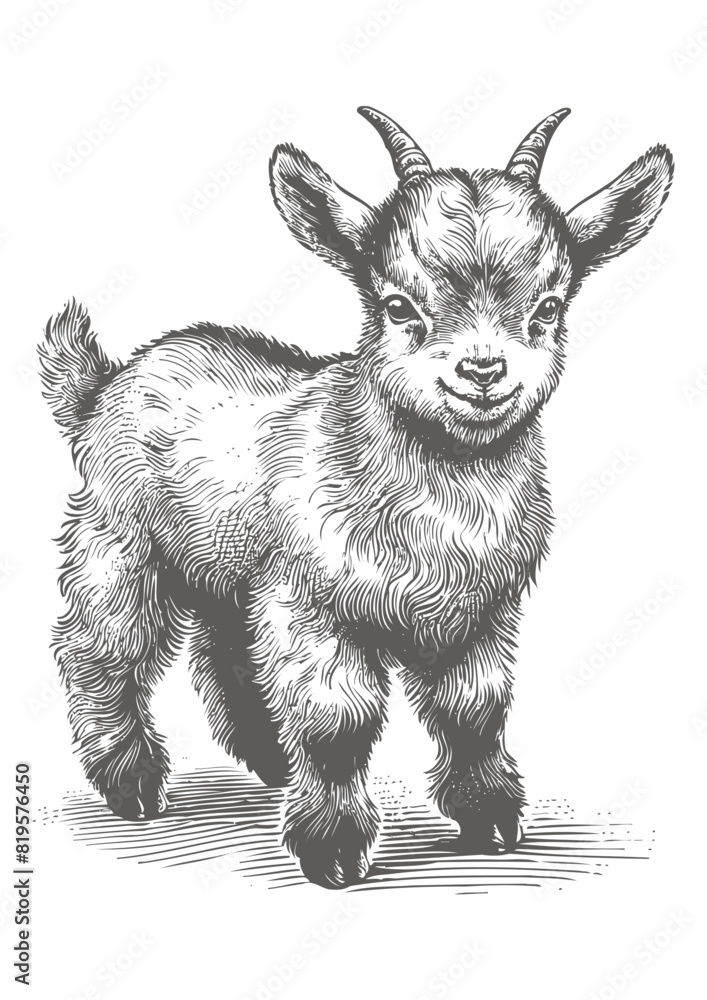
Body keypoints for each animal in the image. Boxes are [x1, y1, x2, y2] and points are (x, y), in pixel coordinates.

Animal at [39, 107, 673, 888]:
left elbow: (476, 710)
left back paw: (266, 759)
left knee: (223, 649)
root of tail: (102, 384)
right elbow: (337, 721)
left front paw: (488, 819)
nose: (482, 371)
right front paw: (333, 849)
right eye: (398, 305)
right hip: (121, 543)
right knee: (100, 645)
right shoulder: (315, 605)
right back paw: (130, 782)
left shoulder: (478, 615)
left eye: (548, 307)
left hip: (227, 567)